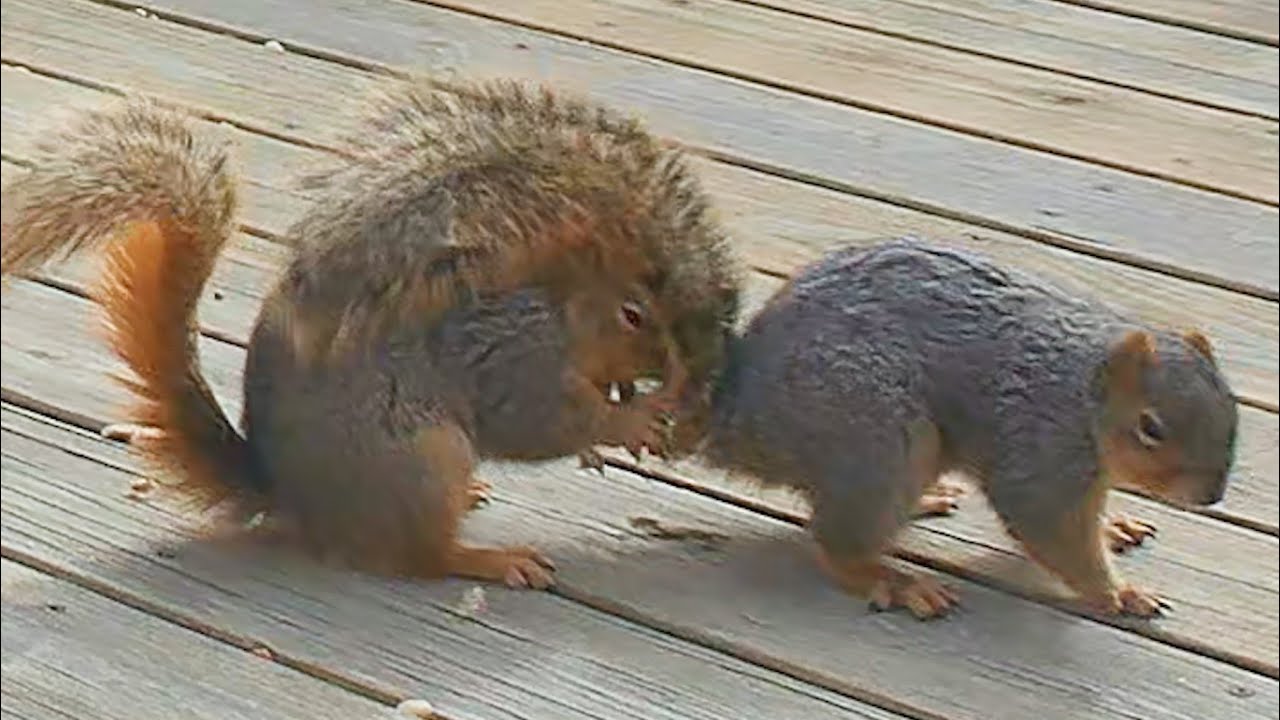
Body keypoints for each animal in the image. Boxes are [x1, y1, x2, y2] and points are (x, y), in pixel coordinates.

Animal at [0, 79, 740, 589]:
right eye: (634, 314)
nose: (678, 374)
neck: (558, 308)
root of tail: (296, 499)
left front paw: (627, 414)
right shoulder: (511, 356)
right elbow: (538, 422)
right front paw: (633, 418)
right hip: (422, 463)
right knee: (418, 558)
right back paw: (492, 558)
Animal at [676, 238, 1238, 620]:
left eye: (1232, 404)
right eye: (1151, 427)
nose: (1211, 496)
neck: (1082, 392)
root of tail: (744, 421)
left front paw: (1112, 527)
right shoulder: (1039, 453)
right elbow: (1053, 533)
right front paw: (1120, 593)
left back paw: (926, 501)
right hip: (879, 442)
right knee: (838, 546)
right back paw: (897, 582)